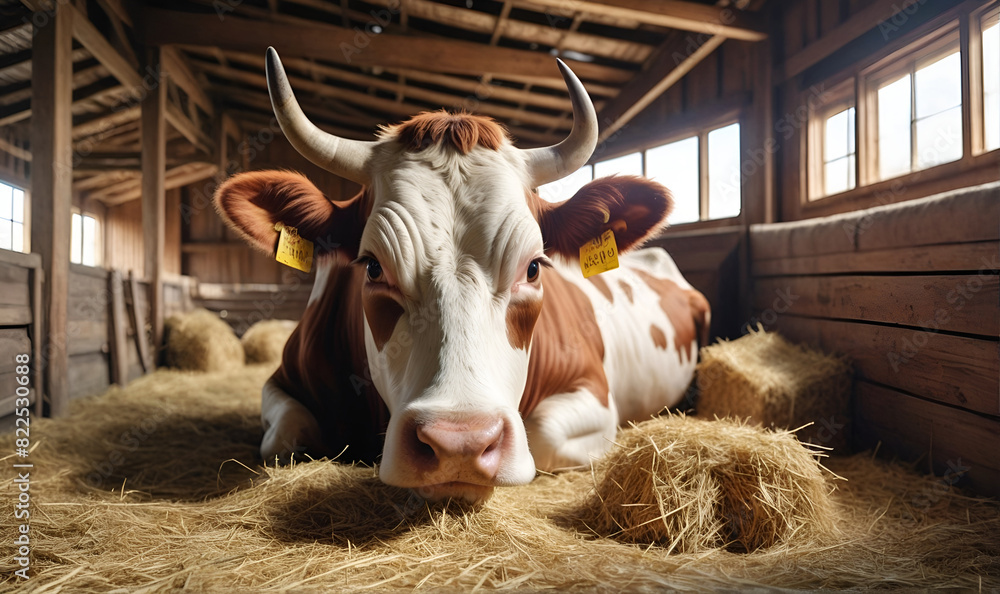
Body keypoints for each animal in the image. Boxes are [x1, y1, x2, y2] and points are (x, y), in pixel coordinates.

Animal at [214, 48, 710, 504]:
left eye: (533, 267)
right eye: (373, 266)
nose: (461, 443)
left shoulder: (593, 392)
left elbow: (542, 433)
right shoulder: (281, 381)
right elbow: (284, 439)